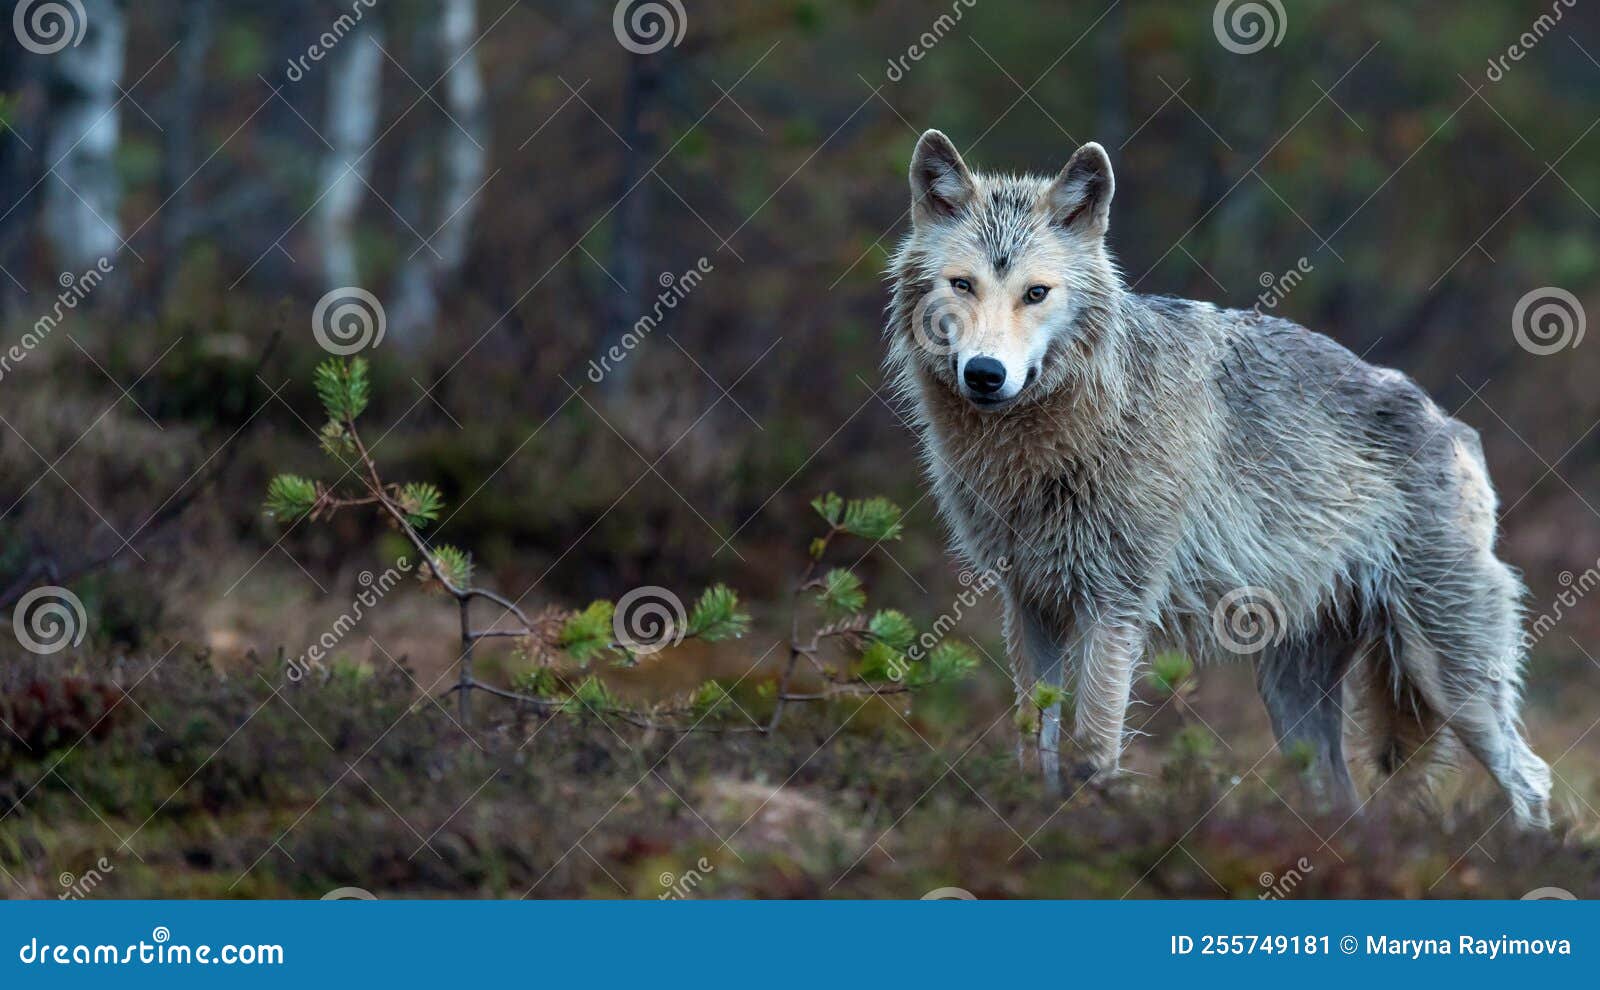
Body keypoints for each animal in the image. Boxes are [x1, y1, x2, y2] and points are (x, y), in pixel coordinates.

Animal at [884, 130, 1553, 828]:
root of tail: (1455, 427)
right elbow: (1029, 741)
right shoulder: (1029, 603)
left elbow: (1092, 749)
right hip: (1291, 695)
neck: (1056, 440)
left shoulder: (1115, 606)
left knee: (1531, 777)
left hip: (1447, 675)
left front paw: (1092, 824)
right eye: (963, 284)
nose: (985, 374)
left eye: (1035, 293)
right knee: (1344, 794)